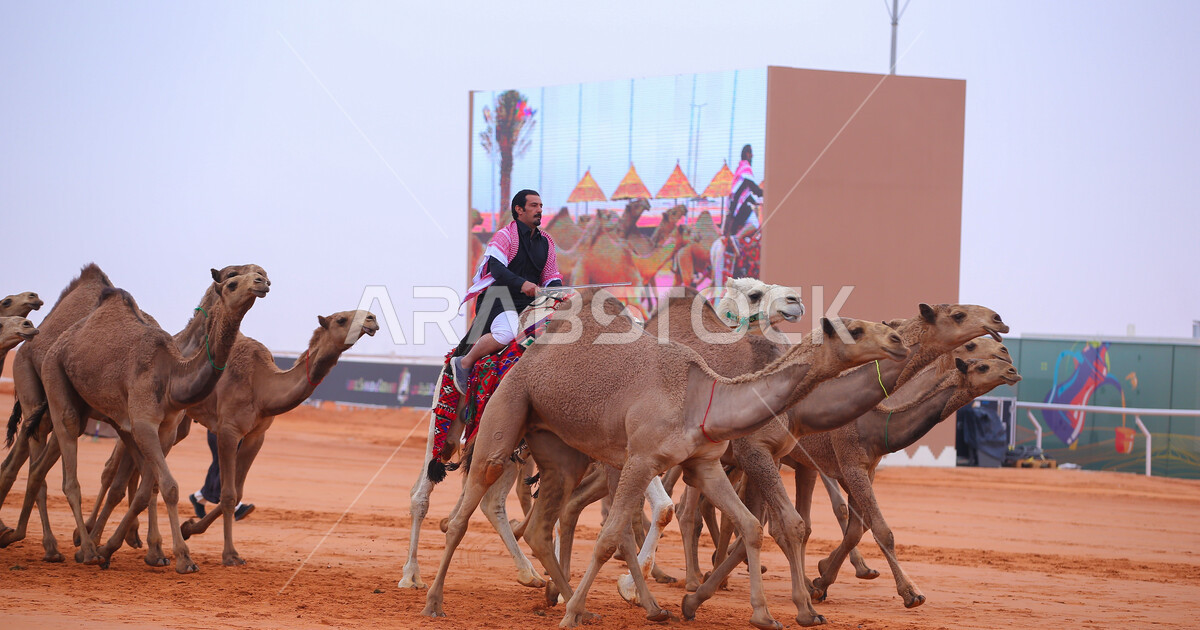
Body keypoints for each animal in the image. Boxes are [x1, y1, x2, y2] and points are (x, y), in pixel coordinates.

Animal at [0, 264, 267, 559]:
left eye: (259, 273)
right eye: (232, 281)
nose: (262, 281)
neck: (173, 374)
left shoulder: (165, 429)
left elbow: (150, 487)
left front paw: (152, 550)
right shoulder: (143, 423)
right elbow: (166, 486)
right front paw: (179, 556)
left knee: (37, 467)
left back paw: (25, 537)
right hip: (48, 378)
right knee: (63, 471)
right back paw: (80, 549)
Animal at [421, 288, 906, 629]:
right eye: (855, 330)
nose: (898, 339)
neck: (704, 396)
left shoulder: (704, 464)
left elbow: (750, 525)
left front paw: (764, 614)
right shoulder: (642, 458)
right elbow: (611, 535)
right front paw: (575, 613)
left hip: (560, 449)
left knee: (542, 524)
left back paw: (588, 602)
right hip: (507, 411)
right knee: (465, 510)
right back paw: (433, 600)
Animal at [792, 353, 1021, 608]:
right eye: (983, 366)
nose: (1012, 371)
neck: (874, 426)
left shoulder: (865, 469)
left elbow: (855, 531)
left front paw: (823, 578)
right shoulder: (851, 464)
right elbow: (882, 531)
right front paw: (911, 593)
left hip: (802, 463)